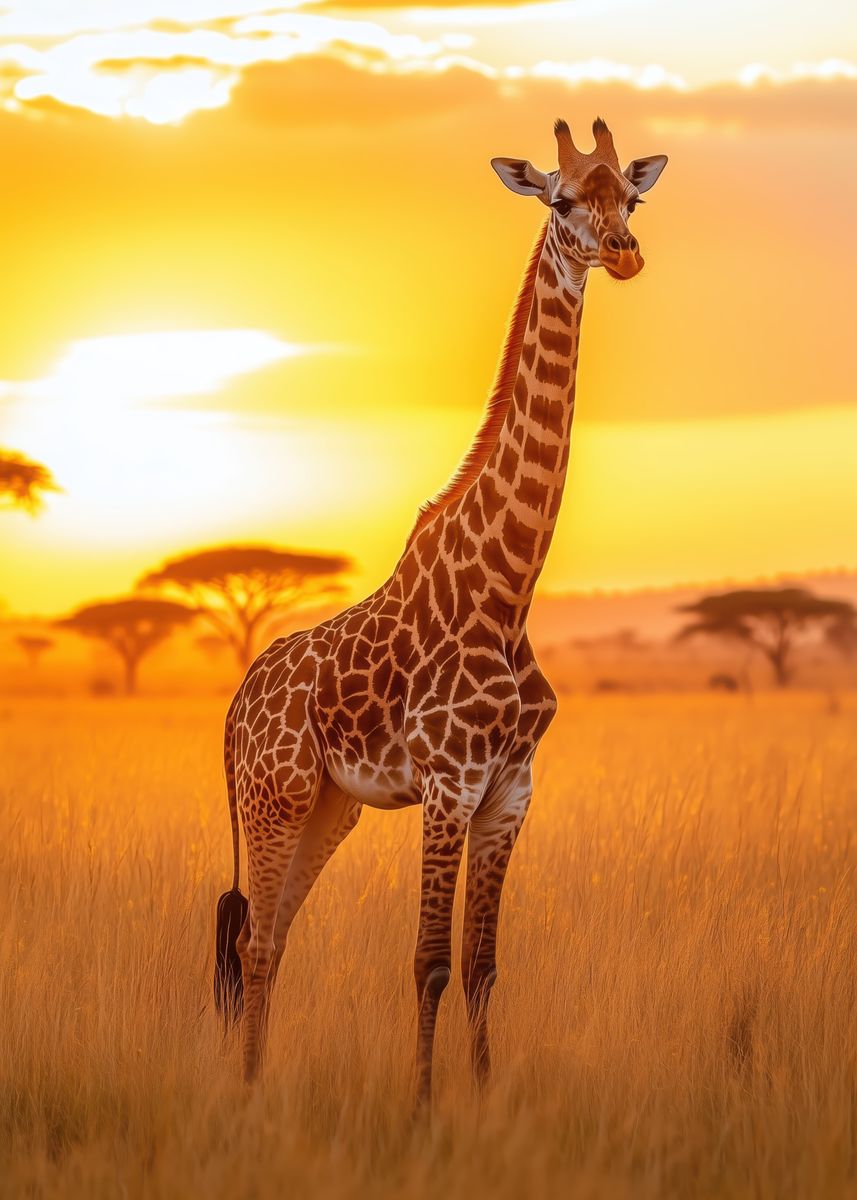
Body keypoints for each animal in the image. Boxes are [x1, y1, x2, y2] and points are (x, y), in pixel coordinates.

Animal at [214, 116, 668, 1104]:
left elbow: (481, 963)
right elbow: (426, 960)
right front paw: (422, 1107)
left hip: (327, 809)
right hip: (274, 796)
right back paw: (248, 1093)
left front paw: (485, 1099)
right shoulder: (448, 785)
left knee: (271, 937)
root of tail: (233, 708)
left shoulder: (510, 792)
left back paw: (256, 1083)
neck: (506, 589)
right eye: (561, 200)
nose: (623, 253)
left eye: (632, 196)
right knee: (255, 942)